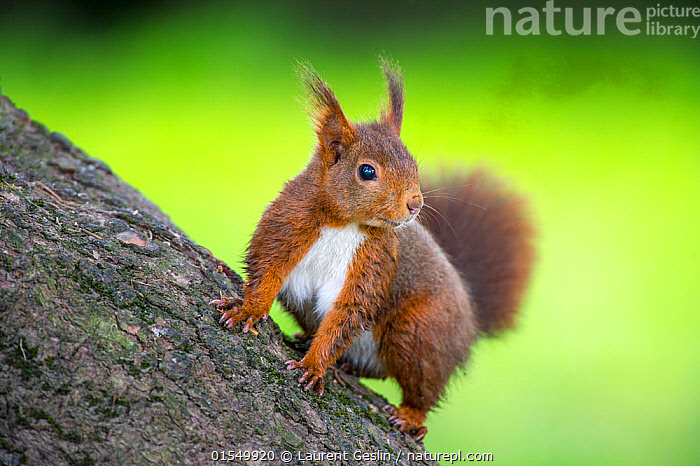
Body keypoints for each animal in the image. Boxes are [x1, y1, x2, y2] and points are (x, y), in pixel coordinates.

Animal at [212, 59, 535, 441]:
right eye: (367, 171)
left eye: (413, 163)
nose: (415, 204)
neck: (344, 223)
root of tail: (471, 320)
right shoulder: (286, 226)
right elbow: (267, 271)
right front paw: (248, 309)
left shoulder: (374, 263)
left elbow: (348, 312)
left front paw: (314, 366)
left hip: (419, 332)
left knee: (422, 385)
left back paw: (410, 415)